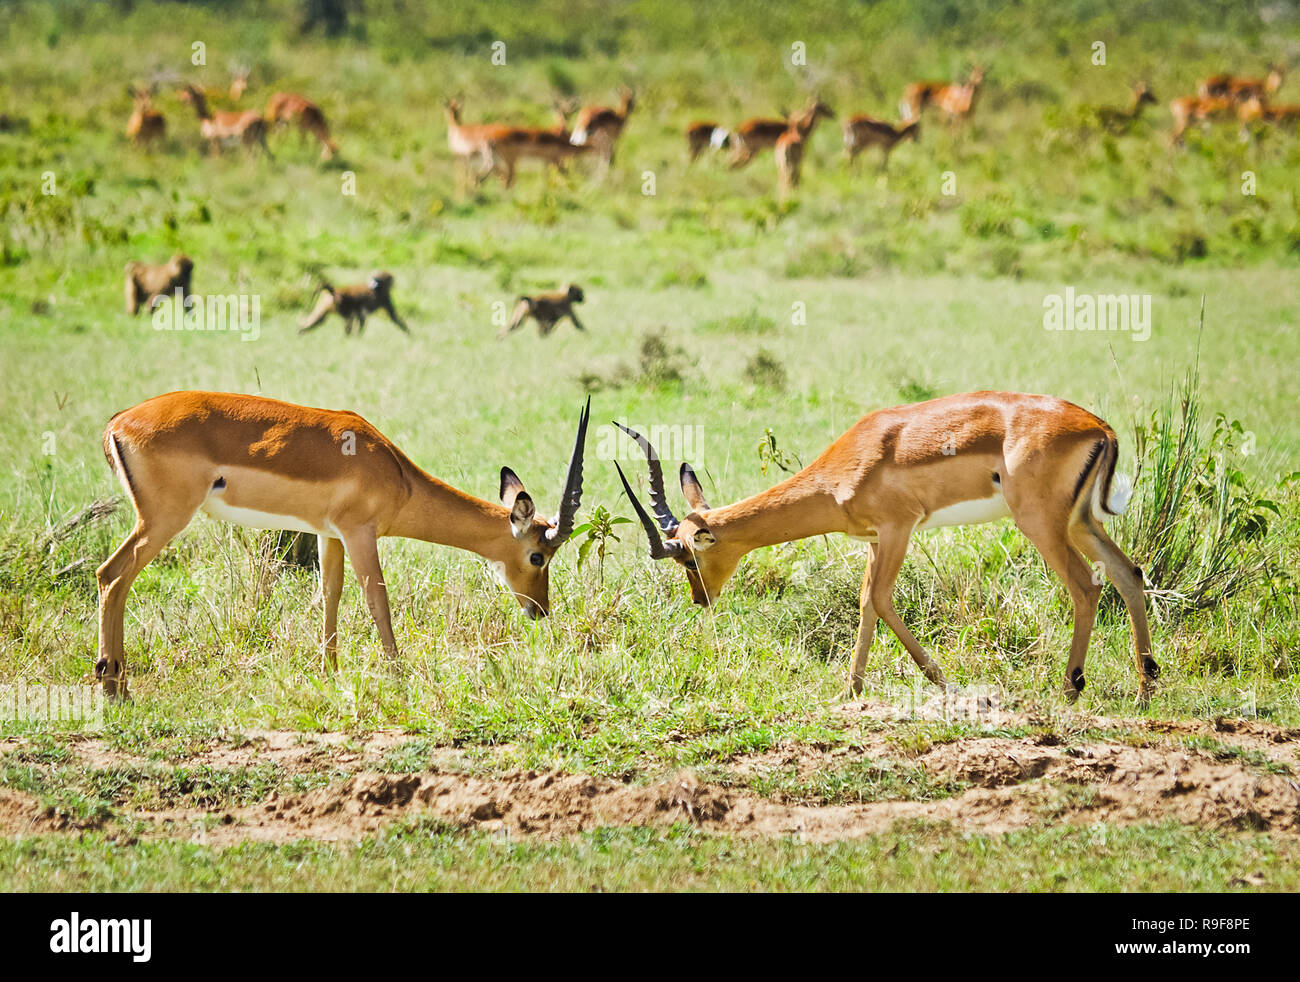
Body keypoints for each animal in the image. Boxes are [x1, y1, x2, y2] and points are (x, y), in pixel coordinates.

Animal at [95, 392, 590, 698]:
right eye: (537, 555)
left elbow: (329, 594)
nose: (539, 610)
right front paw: (397, 676)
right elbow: (377, 599)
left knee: (111, 577)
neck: (397, 475)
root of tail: (116, 423)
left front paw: (329, 673)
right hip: (163, 520)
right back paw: (113, 685)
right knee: (111, 575)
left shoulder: (328, 534)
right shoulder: (358, 532)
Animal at [615, 391, 1157, 702]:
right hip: (1081, 522)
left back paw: (1070, 687)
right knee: (1129, 574)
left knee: (1086, 586)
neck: (849, 464)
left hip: (1041, 525)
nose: (699, 599)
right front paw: (850, 689)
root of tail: (1099, 427)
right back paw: (1145, 687)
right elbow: (865, 604)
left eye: (688, 556)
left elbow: (880, 598)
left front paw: (946, 683)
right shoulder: (876, 539)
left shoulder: (899, 528)